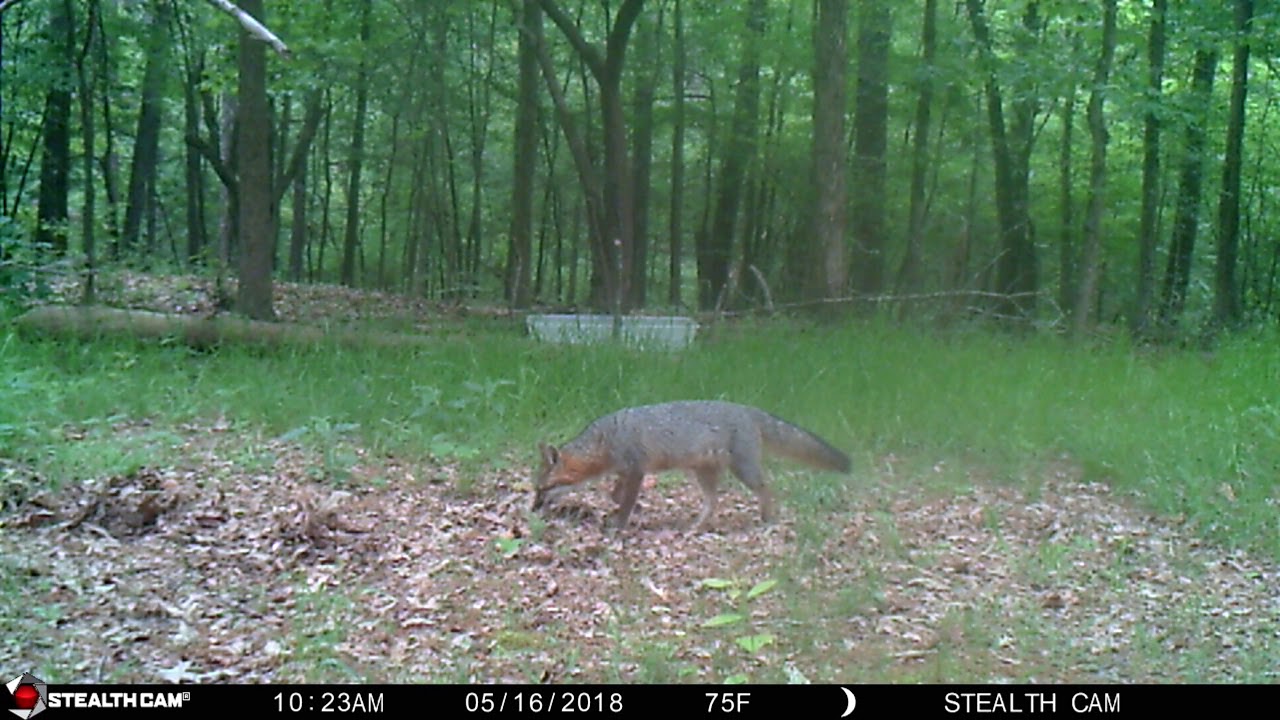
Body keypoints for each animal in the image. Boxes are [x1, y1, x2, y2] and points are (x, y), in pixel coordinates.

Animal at [531, 400, 851, 531]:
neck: (605, 440)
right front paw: (621, 506)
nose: (533, 509)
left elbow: (625, 503)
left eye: (542, 489)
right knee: (713, 503)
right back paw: (695, 527)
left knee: (767, 489)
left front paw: (618, 526)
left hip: (743, 470)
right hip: (703, 473)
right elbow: (615, 494)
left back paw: (767, 519)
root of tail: (748, 409)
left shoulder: (636, 469)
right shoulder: (627, 471)